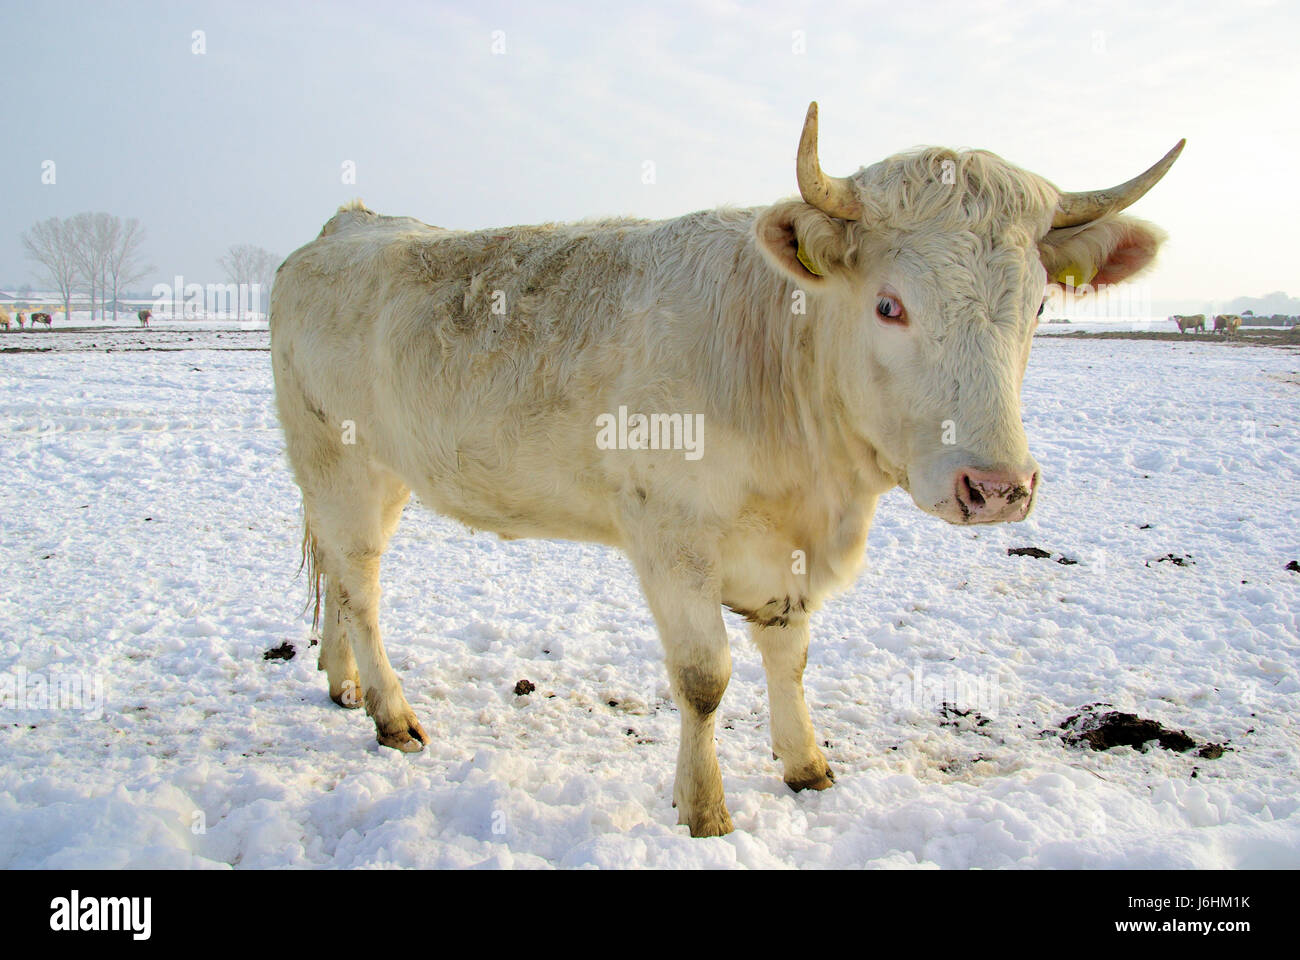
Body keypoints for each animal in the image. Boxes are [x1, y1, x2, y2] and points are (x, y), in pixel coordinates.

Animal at [270, 103, 1183, 836]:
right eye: (889, 305)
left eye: (1038, 304)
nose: (996, 488)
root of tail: (347, 226)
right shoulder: (669, 533)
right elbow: (705, 678)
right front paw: (704, 809)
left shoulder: (785, 552)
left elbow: (790, 654)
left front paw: (806, 766)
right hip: (336, 460)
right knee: (361, 585)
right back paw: (392, 715)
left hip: (377, 475)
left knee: (343, 584)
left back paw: (341, 682)